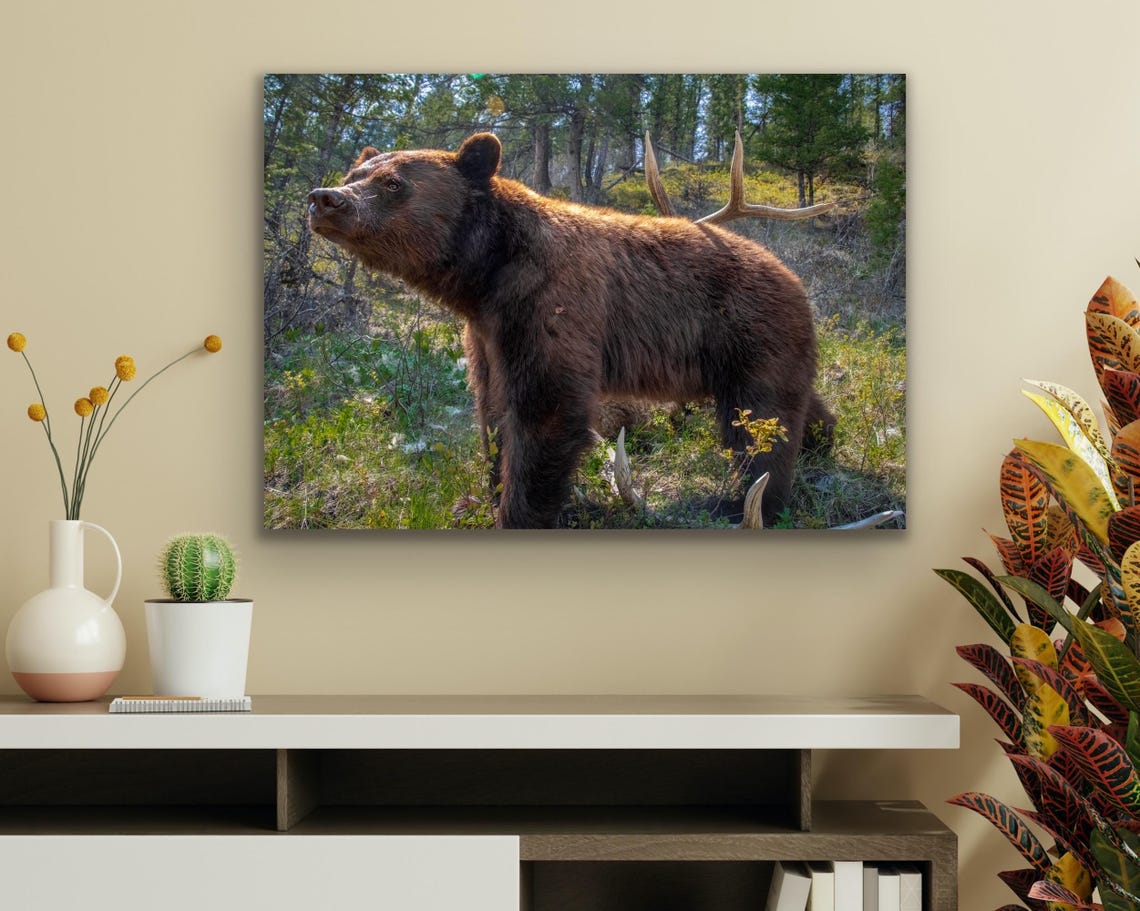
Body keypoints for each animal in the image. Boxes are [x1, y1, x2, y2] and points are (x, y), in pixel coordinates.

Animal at [307, 132, 832, 529]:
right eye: (354, 175)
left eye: (393, 182)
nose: (324, 199)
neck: (491, 272)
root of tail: (795, 279)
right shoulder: (487, 333)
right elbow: (492, 412)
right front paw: (486, 490)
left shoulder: (555, 307)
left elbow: (547, 413)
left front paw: (517, 514)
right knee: (801, 405)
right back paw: (821, 439)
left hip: (751, 336)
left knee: (762, 426)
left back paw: (739, 502)